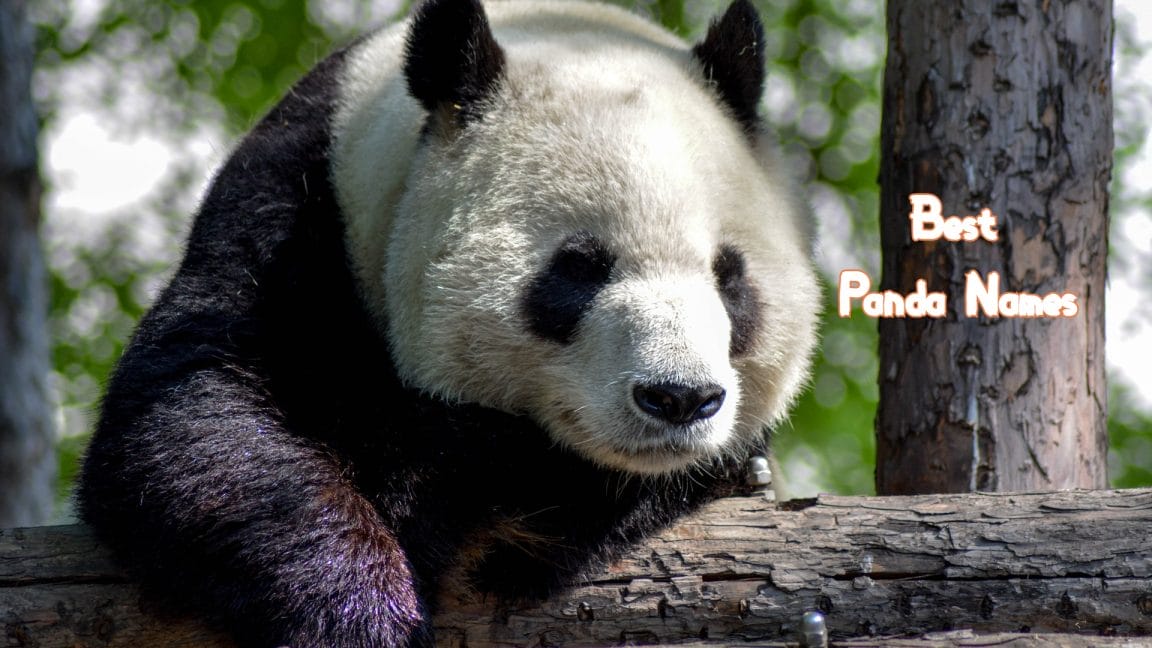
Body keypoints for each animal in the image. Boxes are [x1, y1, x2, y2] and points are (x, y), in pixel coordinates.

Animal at [78, 0, 820, 646]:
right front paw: (364, 614)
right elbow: (194, 417)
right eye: (579, 267)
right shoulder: (294, 211)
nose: (679, 398)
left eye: (729, 277)